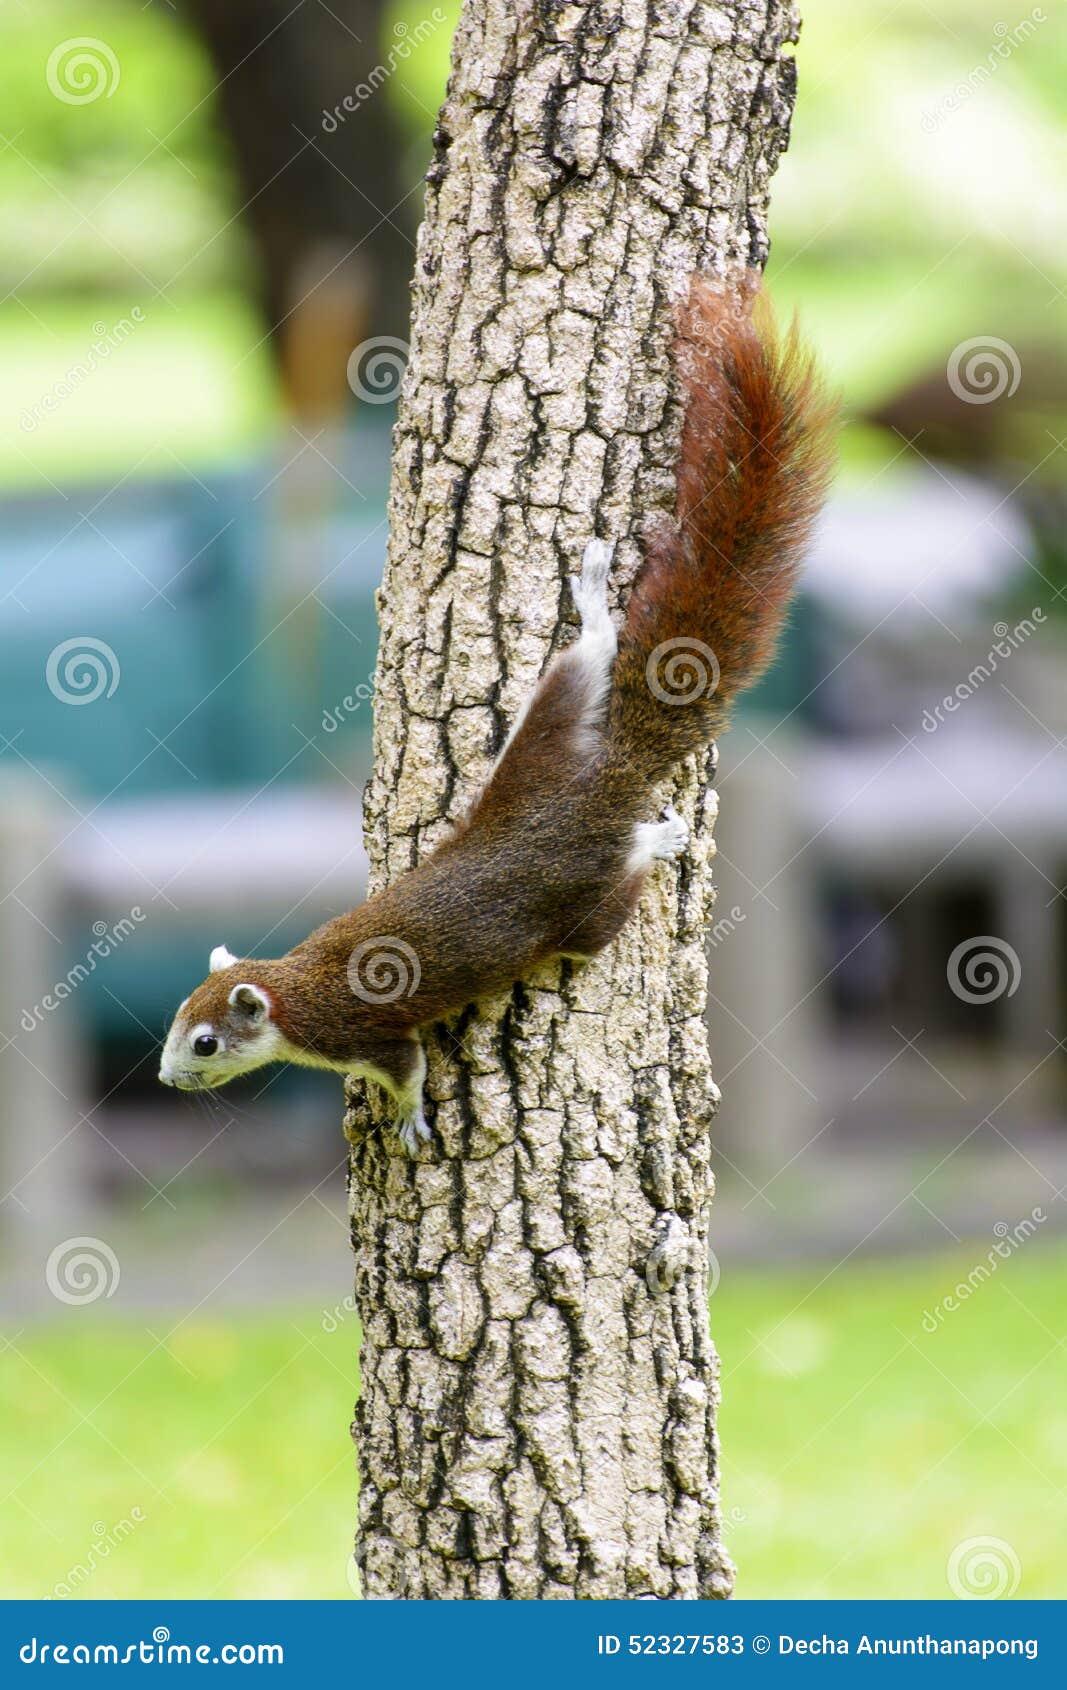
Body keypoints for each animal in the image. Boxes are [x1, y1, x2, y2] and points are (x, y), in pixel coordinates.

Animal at [159, 275, 836, 1156]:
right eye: (176, 1019)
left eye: (207, 1042)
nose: (167, 1078)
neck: (295, 985)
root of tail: (608, 779)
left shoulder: (364, 1035)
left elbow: (408, 1068)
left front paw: (411, 1120)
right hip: (539, 743)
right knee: (585, 663)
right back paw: (593, 607)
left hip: (583, 911)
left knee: (621, 875)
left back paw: (658, 836)